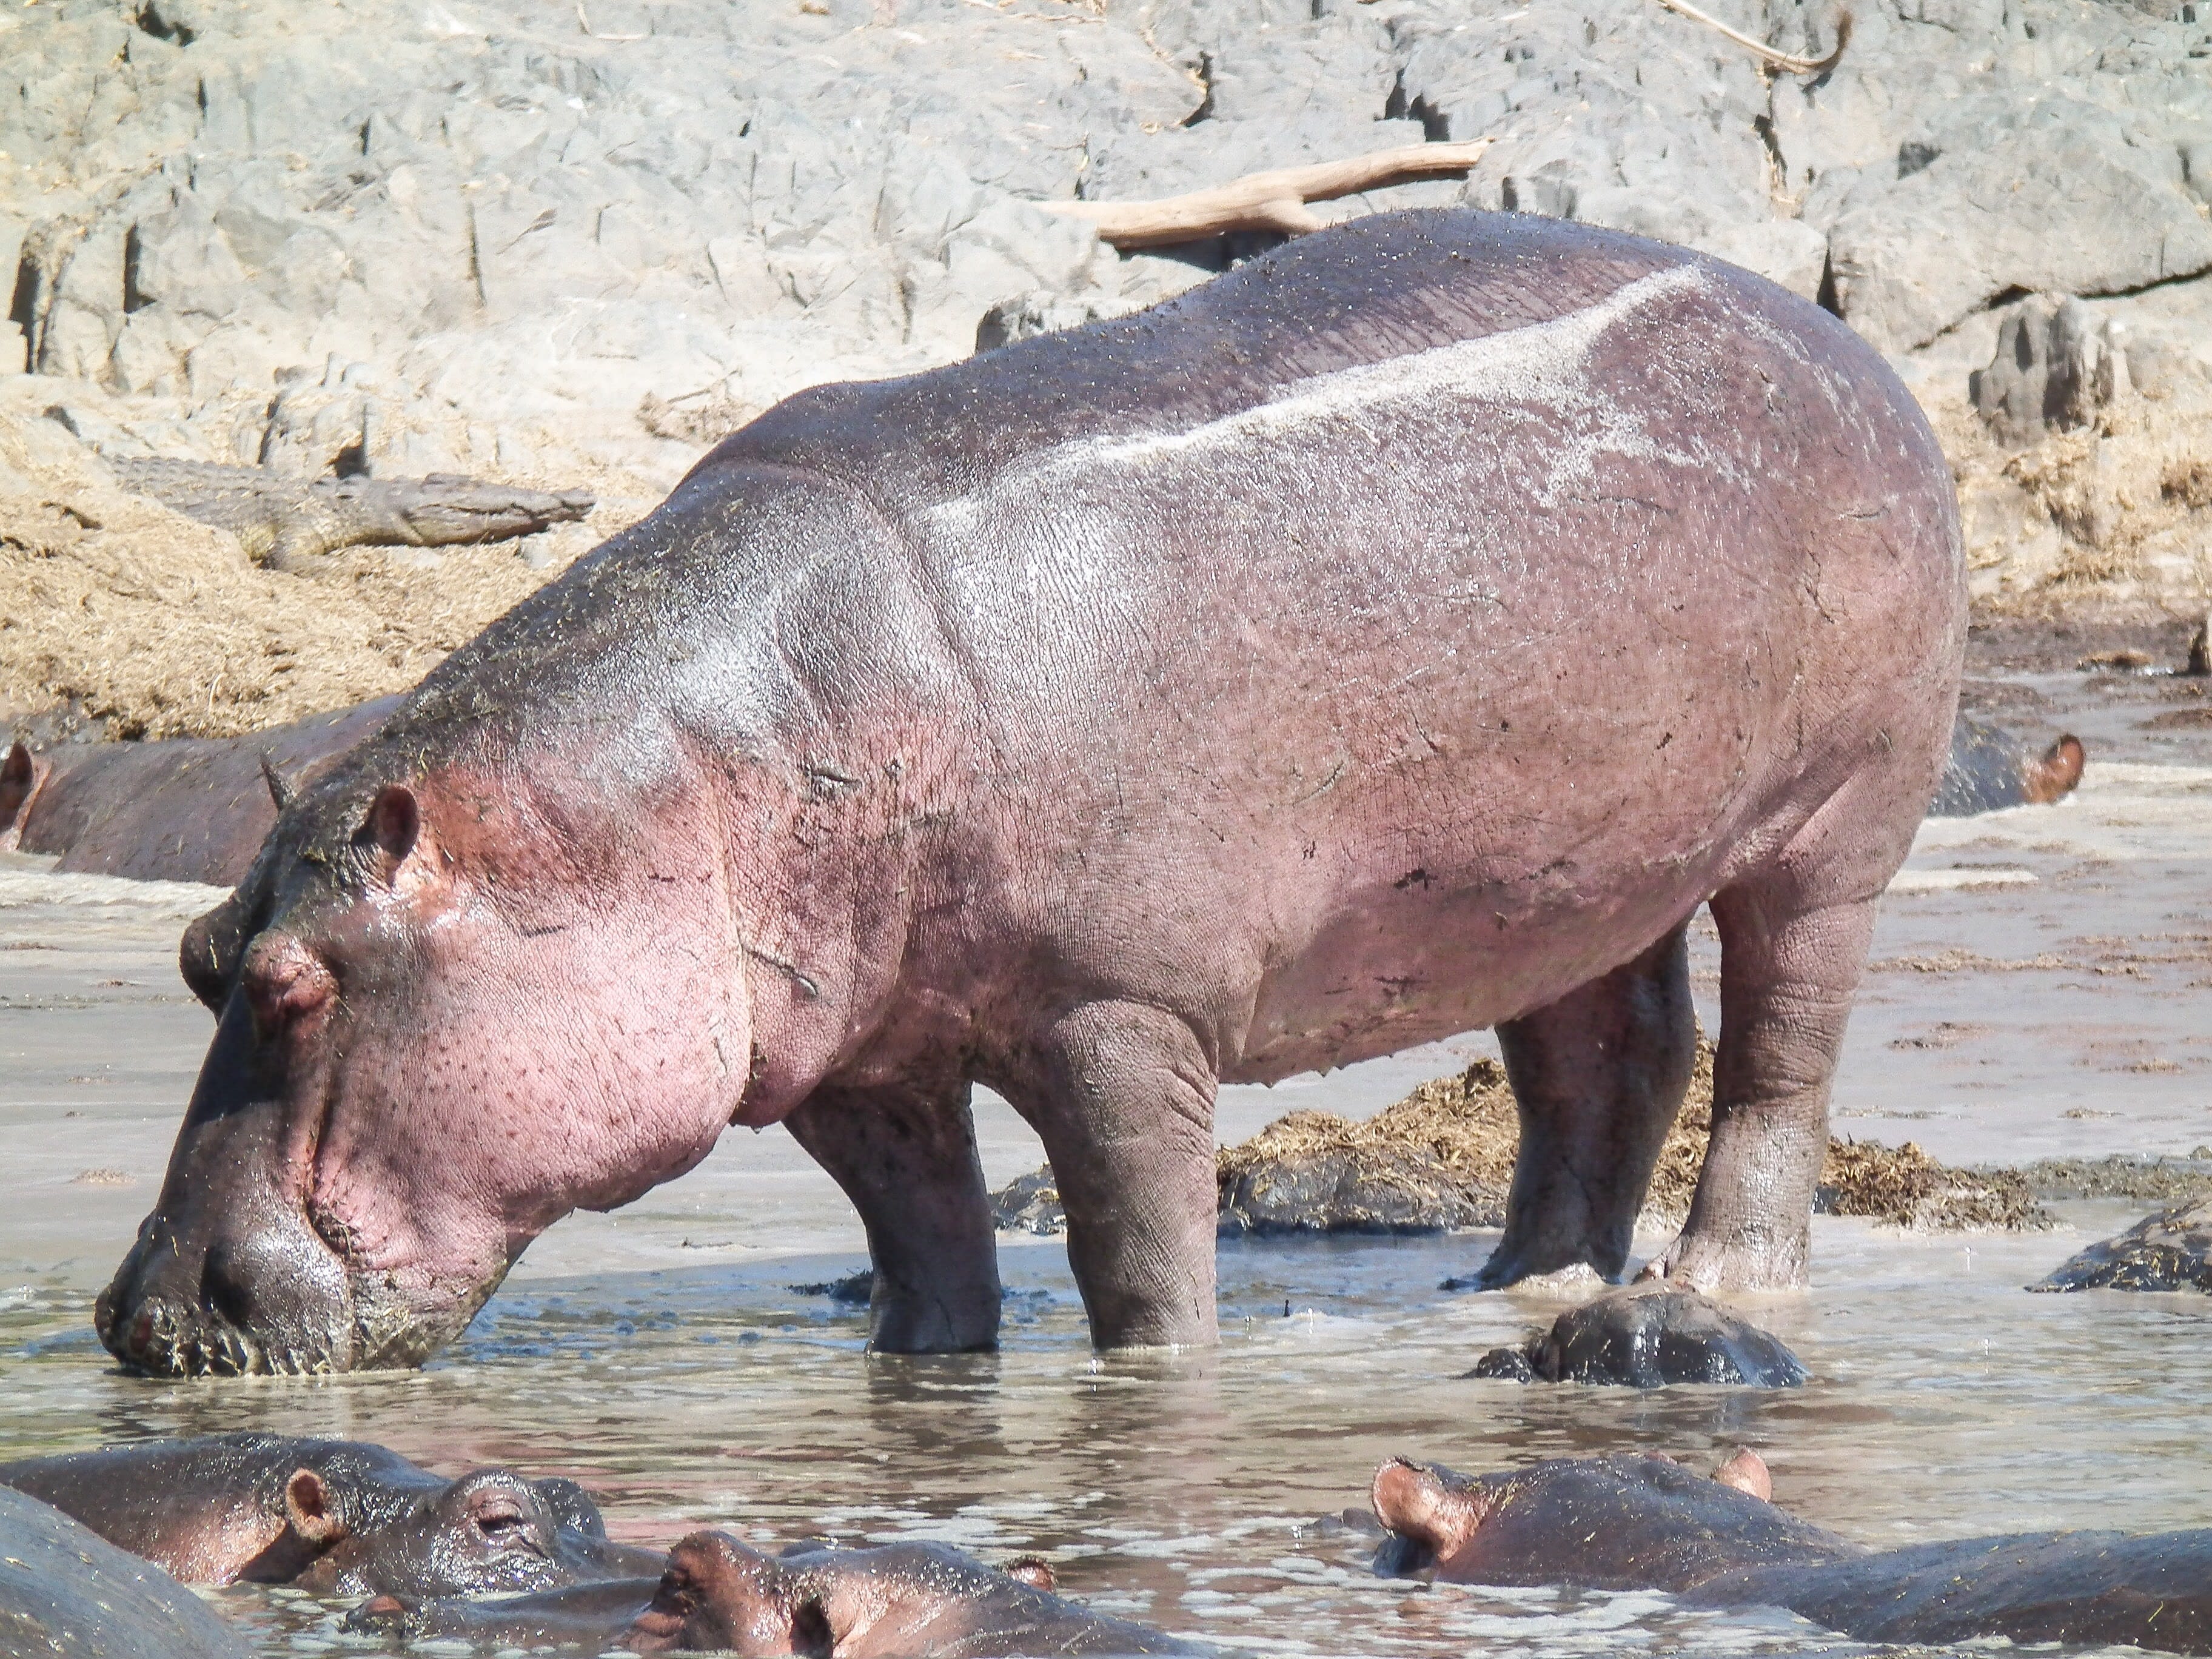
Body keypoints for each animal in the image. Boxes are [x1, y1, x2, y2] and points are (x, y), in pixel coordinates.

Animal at [98, 206, 1963, 1376]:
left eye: (296, 985)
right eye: (196, 956)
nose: (135, 1313)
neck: (680, 785)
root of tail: (1831, 331)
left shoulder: (1122, 1010)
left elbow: (1136, 1248)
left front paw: (1157, 1383)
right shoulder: (848, 1047)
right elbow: (925, 1234)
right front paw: (922, 1376)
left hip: (1835, 827)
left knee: (1779, 1057)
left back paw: (1716, 1281)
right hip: (1570, 863)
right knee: (1608, 1055)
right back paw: (1516, 1281)